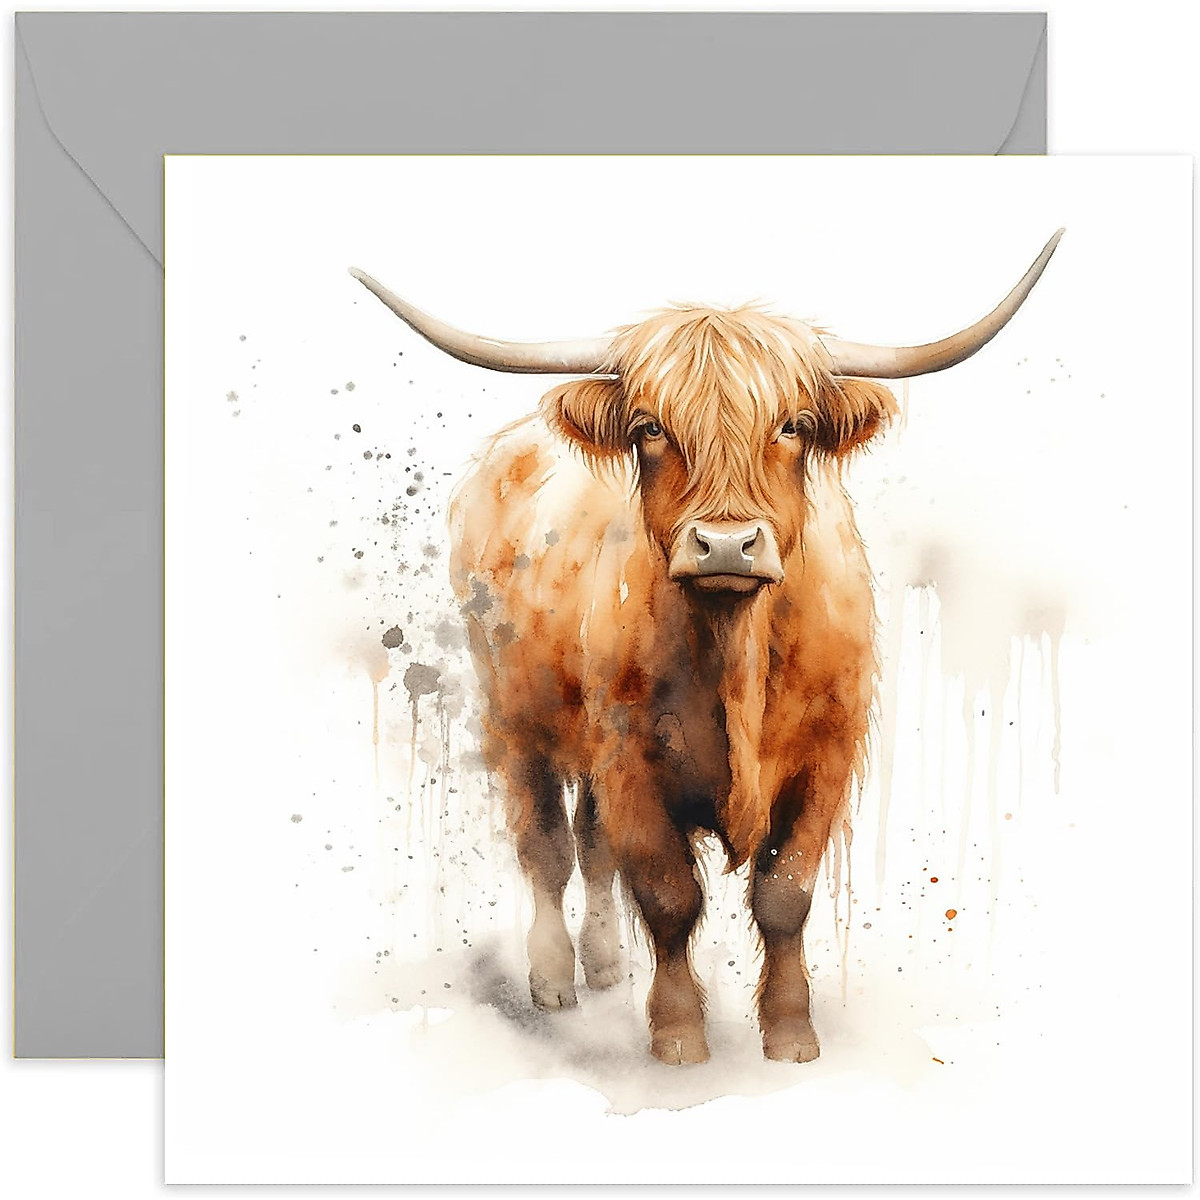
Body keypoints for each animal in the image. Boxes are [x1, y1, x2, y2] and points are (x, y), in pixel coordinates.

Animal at [351, 231, 1062, 1065]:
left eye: (793, 425)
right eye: (650, 427)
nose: (726, 543)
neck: (735, 650)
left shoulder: (826, 757)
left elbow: (783, 895)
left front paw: (790, 1031)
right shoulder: (631, 763)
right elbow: (666, 895)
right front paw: (679, 1033)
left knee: (591, 848)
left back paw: (602, 963)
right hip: (514, 716)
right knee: (547, 848)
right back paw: (554, 977)